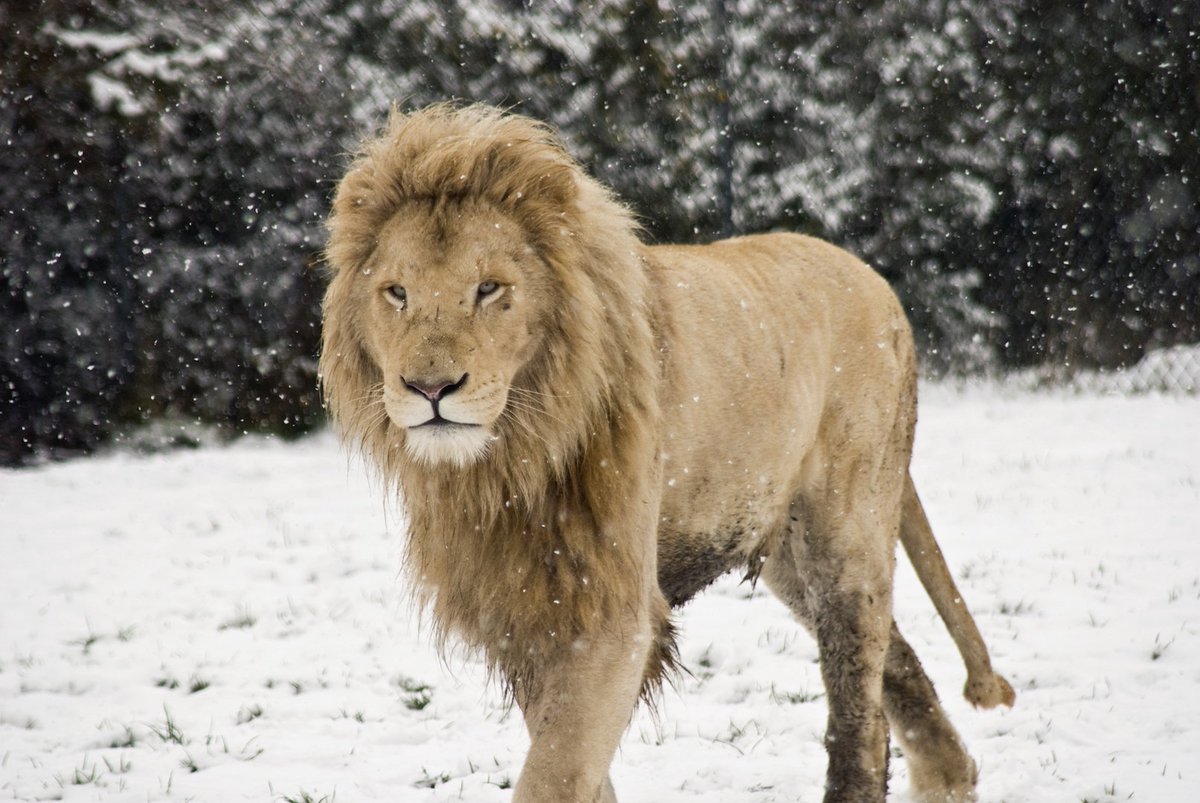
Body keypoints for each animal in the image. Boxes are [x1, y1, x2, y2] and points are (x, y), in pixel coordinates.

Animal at [319, 104, 1014, 803]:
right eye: (397, 294)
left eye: (489, 289)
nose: (430, 388)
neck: (509, 460)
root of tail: (876, 281)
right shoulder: (526, 609)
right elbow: (576, 765)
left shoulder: (612, 614)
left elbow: (556, 770)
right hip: (787, 552)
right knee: (898, 661)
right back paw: (951, 778)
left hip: (846, 533)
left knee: (861, 709)